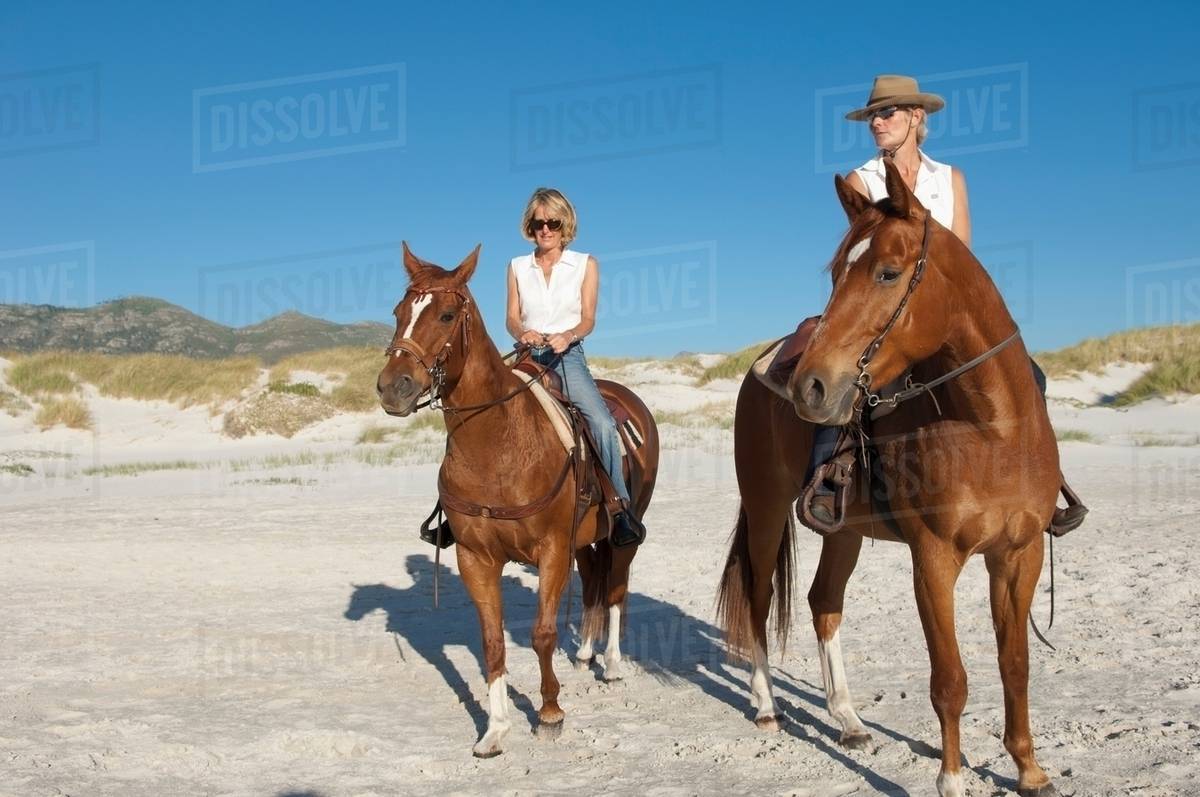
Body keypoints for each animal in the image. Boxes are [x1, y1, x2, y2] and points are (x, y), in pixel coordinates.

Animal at [376, 243, 659, 758]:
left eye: (447, 315)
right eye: (398, 312)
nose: (393, 387)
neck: (497, 443)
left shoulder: (550, 550)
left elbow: (543, 633)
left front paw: (549, 712)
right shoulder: (476, 557)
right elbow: (492, 643)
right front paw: (496, 728)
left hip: (624, 530)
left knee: (615, 588)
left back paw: (610, 664)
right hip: (586, 539)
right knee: (593, 580)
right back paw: (584, 653)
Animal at [717, 159, 1063, 797]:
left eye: (887, 272)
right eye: (835, 275)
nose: (810, 388)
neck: (992, 429)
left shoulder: (1018, 554)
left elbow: (1016, 664)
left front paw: (1029, 769)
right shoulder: (934, 559)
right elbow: (949, 679)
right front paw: (951, 779)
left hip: (844, 530)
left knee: (823, 602)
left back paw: (849, 721)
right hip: (767, 507)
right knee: (758, 599)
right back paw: (768, 706)